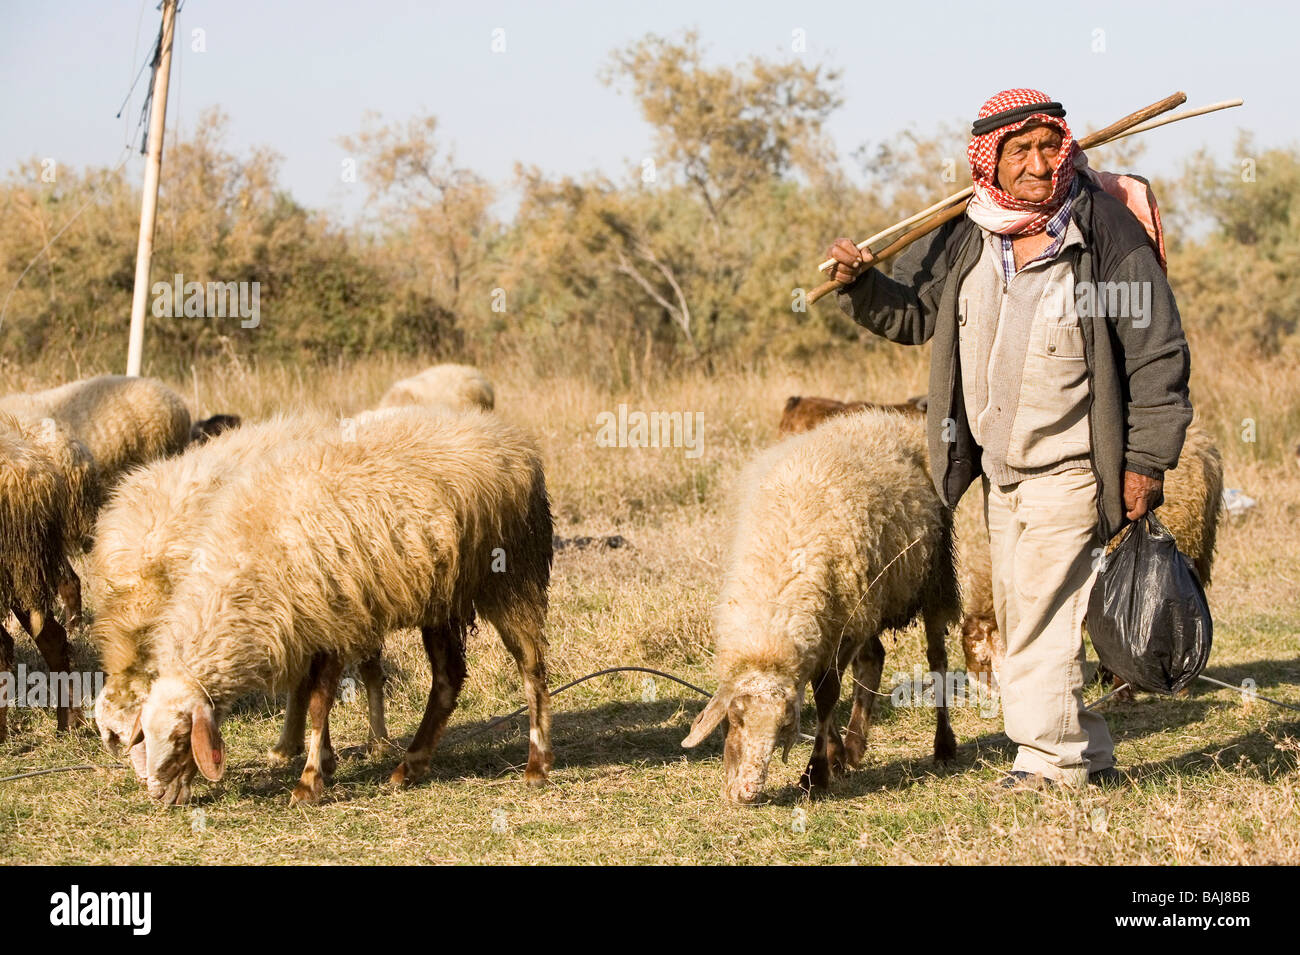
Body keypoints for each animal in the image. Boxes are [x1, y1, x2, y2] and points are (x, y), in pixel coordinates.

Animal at [133, 407, 554, 805]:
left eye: (180, 737)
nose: (157, 795)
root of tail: (515, 442)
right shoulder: (306, 627)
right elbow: (307, 695)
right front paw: (322, 762)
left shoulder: (334, 621)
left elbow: (319, 705)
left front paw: (308, 782)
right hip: (443, 596)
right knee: (448, 677)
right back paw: (410, 765)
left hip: (511, 576)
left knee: (531, 665)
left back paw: (536, 765)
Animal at [682, 409, 960, 803]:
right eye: (735, 718)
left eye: (784, 728)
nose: (749, 792)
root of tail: (886, 418)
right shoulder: (833, 627)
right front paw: (836, 755)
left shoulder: (837, 632)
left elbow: (827, 698)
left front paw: (816, 773)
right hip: (865, 602)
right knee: (873, 659)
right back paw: (854, 746)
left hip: (933, 579)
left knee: (937, 659)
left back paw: (943, 745)